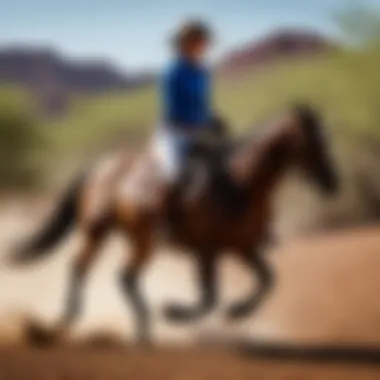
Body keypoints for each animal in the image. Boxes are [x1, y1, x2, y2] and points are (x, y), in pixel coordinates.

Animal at [11, 104, 338, 344]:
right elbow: (209, 297)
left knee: (124, 277)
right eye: (313, 143)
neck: (240, 183)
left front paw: (237, 311)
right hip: (97, 231)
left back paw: (141, 332)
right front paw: (174, 312)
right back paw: (63, 321)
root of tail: (101, 166)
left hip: (140, 239)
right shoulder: (205, 249)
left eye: (326, 140)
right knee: (80, 267)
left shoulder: (241, 246)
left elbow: (268, 279)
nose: (332, 183)